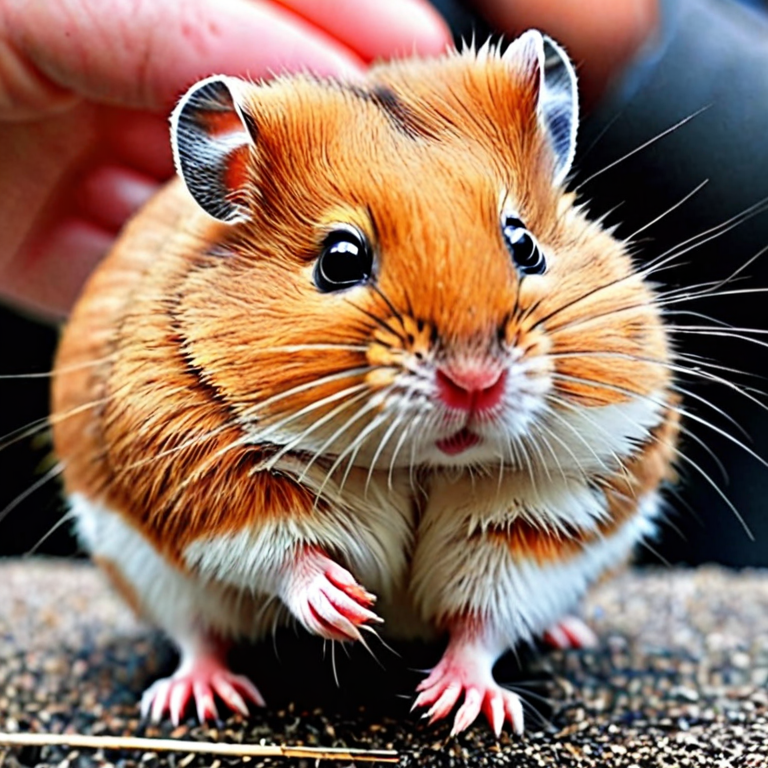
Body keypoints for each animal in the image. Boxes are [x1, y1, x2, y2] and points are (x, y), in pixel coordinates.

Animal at [51, 30, 678, 736]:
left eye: (525, 246)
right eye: (340, 259)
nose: (475, 383)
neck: (423, 464)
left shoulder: (546, 514)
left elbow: (486, 616)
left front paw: (458, 707)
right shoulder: (204, 475)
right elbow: (283, 550)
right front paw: (350, 610)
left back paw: (566, 634)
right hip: (148, 572)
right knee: (197, 632)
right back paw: (199, 698)